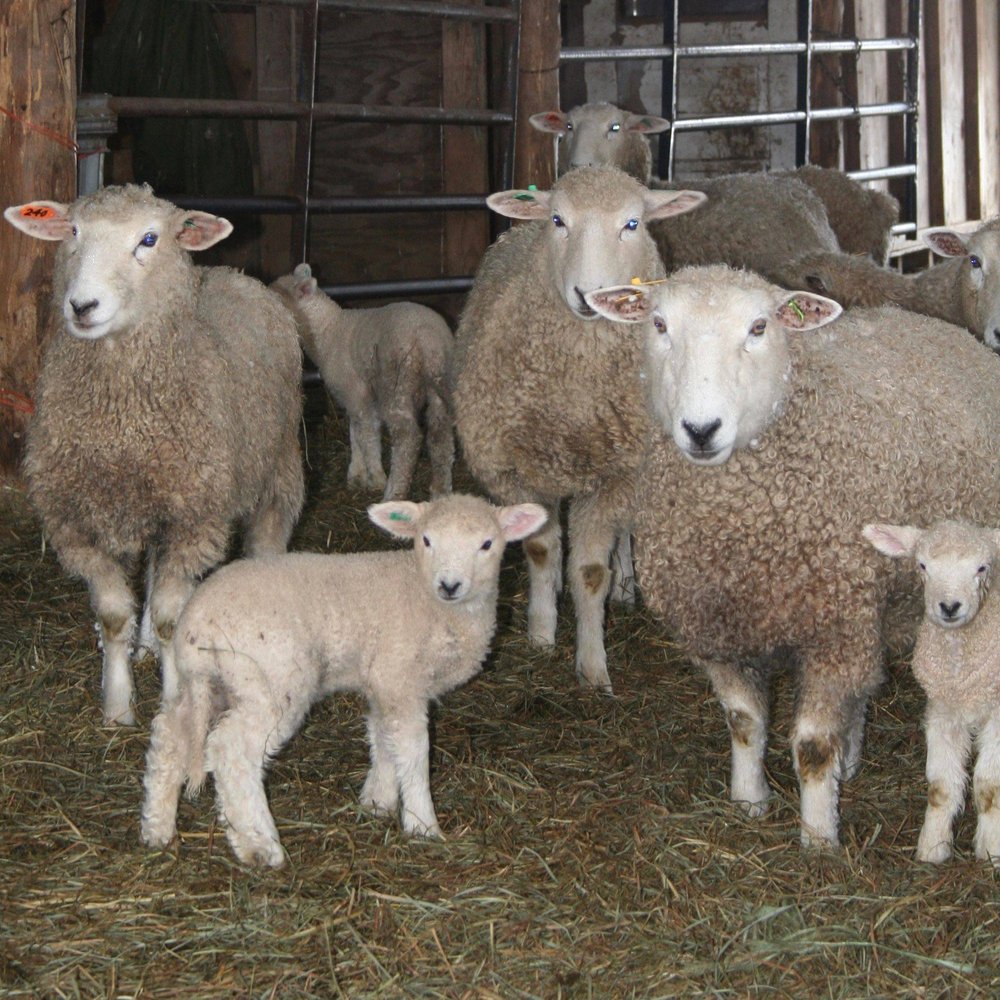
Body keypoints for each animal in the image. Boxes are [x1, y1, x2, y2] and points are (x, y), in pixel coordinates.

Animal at [5, 184, 304, 726]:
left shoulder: (193, 522)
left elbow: (171, 621)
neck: (123, 424)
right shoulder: (76, 522)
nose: (82, 305)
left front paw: (173, 698)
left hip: (279, 466)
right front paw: (118, 706)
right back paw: (140, 648)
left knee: (268, 540)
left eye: (149, 239)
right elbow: (113, 615)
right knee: (147, 568)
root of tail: (230, 271)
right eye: (73, 231)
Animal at [139, 493, 547, 868]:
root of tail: (196, 624)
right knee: (231, 751)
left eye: (487, 544)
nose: (449, 585)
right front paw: (422, 825)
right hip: (273, 678)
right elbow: (414, 751)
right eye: (427, 540)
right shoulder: (401, 679)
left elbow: (383, 739)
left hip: (205, 684)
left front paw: (377, 801)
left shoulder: (383, 682)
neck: (424, 594)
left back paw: (157, 829)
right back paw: (259, 845)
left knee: (169, 737)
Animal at [271, 263, 454, 500]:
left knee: (408, 438)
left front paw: (375, 477)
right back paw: (441, 491)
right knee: (441, 434)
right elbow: (355, 431)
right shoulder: (357, 396)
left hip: (396, 383)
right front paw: (356, 473)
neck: (327, 331)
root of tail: (427, 337)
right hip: (440, 379)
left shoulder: (356, 393)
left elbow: (367, 434)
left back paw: (393, 492)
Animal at [451, 166, 706, 692]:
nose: (589, 296)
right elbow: (541, 552)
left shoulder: (619, 475)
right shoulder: (518, 471)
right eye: (557, 220)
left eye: (632, 223)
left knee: (624, 532)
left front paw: (592, 668)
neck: (575, 390)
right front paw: (541, 636)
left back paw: (625, 585)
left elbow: (589, 571)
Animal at [864, 520, 1000, 865]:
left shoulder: (998, 713)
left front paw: (991, 850)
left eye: (982, 567)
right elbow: (940, 787)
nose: (949, 607)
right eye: (923, 566)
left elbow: (989, 787)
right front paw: (932, 848)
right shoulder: (942, 710)